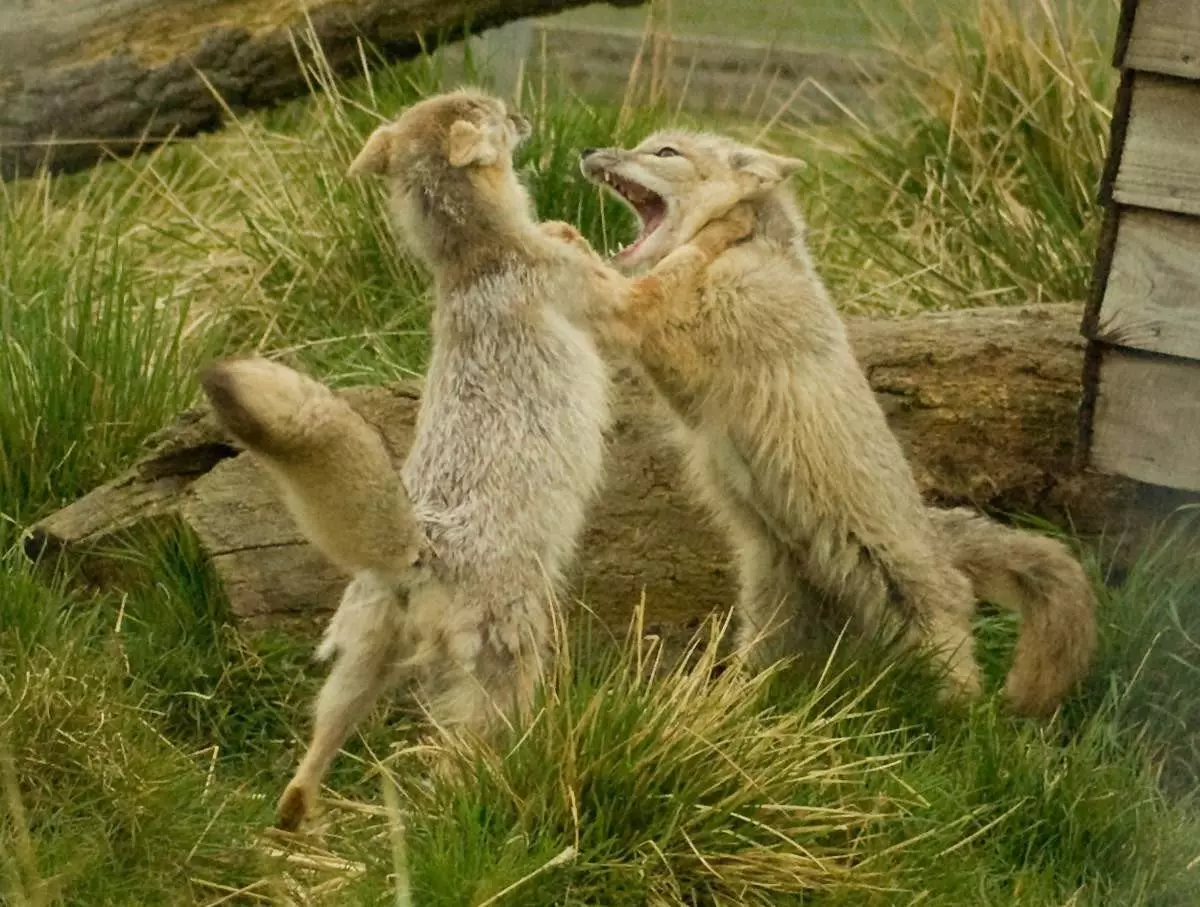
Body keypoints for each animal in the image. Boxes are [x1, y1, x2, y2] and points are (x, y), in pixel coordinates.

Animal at [573, 131, 1099, 719]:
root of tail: (936, 536)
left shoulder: (678, 342)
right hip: (769, 606)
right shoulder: (690, 392)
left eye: (665, 153)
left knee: (957, 679)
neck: (754, 255)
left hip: (912, 614)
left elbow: (656, 277)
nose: (588, 151)